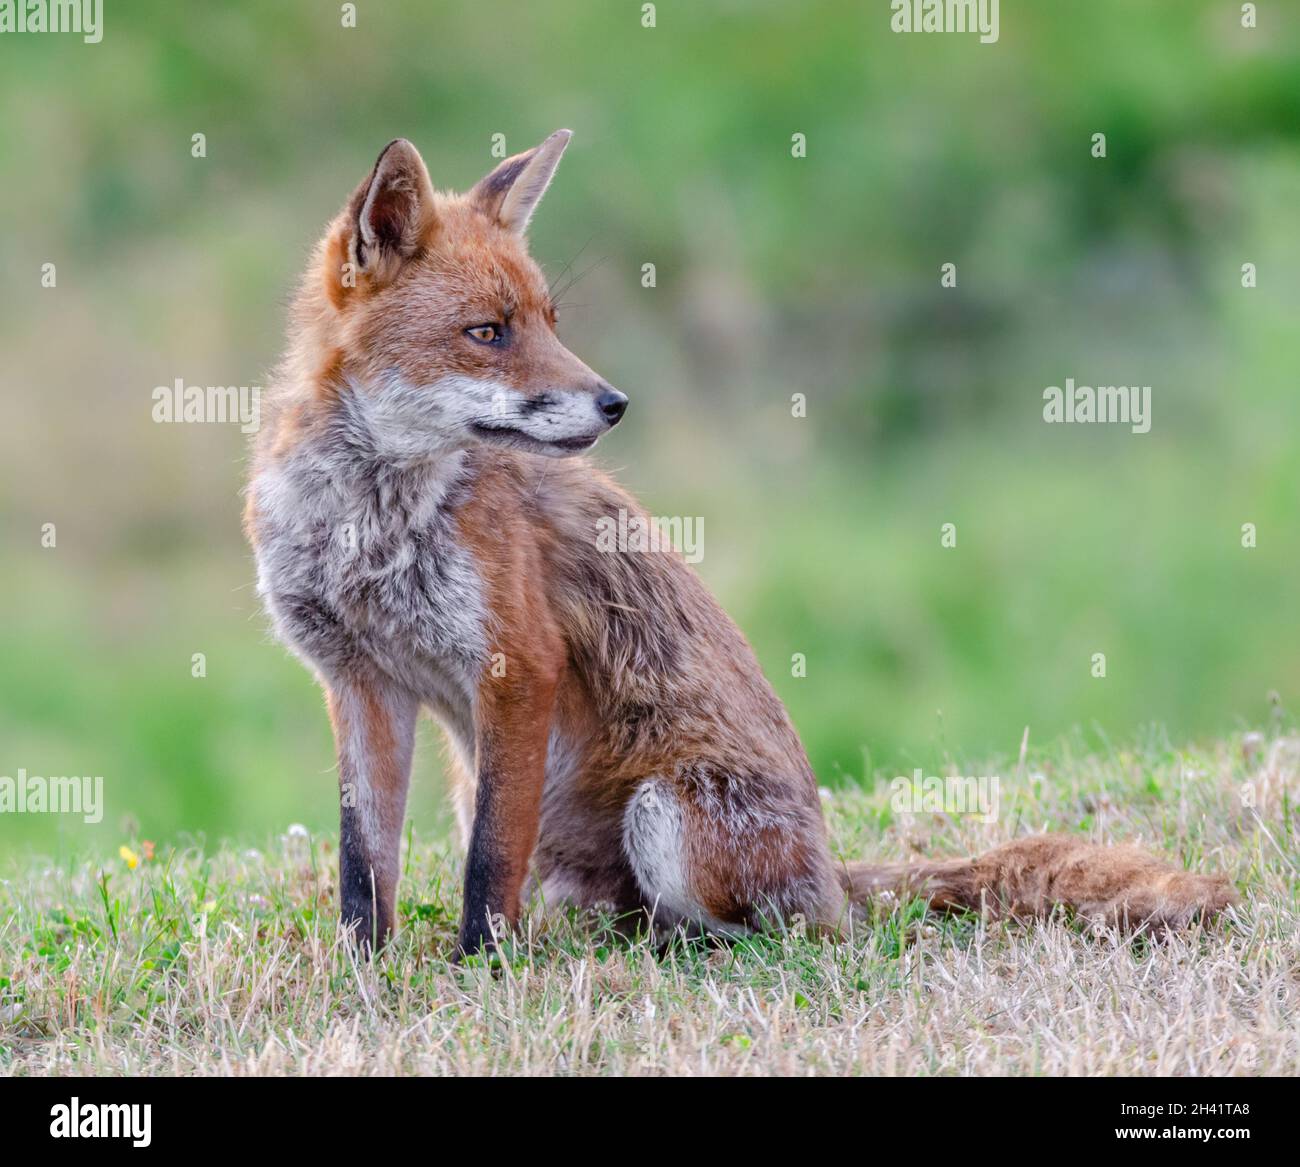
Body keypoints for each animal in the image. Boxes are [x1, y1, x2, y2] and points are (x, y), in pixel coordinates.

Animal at [244, 130, 1233, 957]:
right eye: (487, 333)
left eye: (551, 321)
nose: (614, 403)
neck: (368, 526)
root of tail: (832, 870)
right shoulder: (360, 681)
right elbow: (361, 865)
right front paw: (364, 971)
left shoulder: (517, 666)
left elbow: (487, 867)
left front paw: (481, 970)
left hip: (666, 814)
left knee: (789, 931)